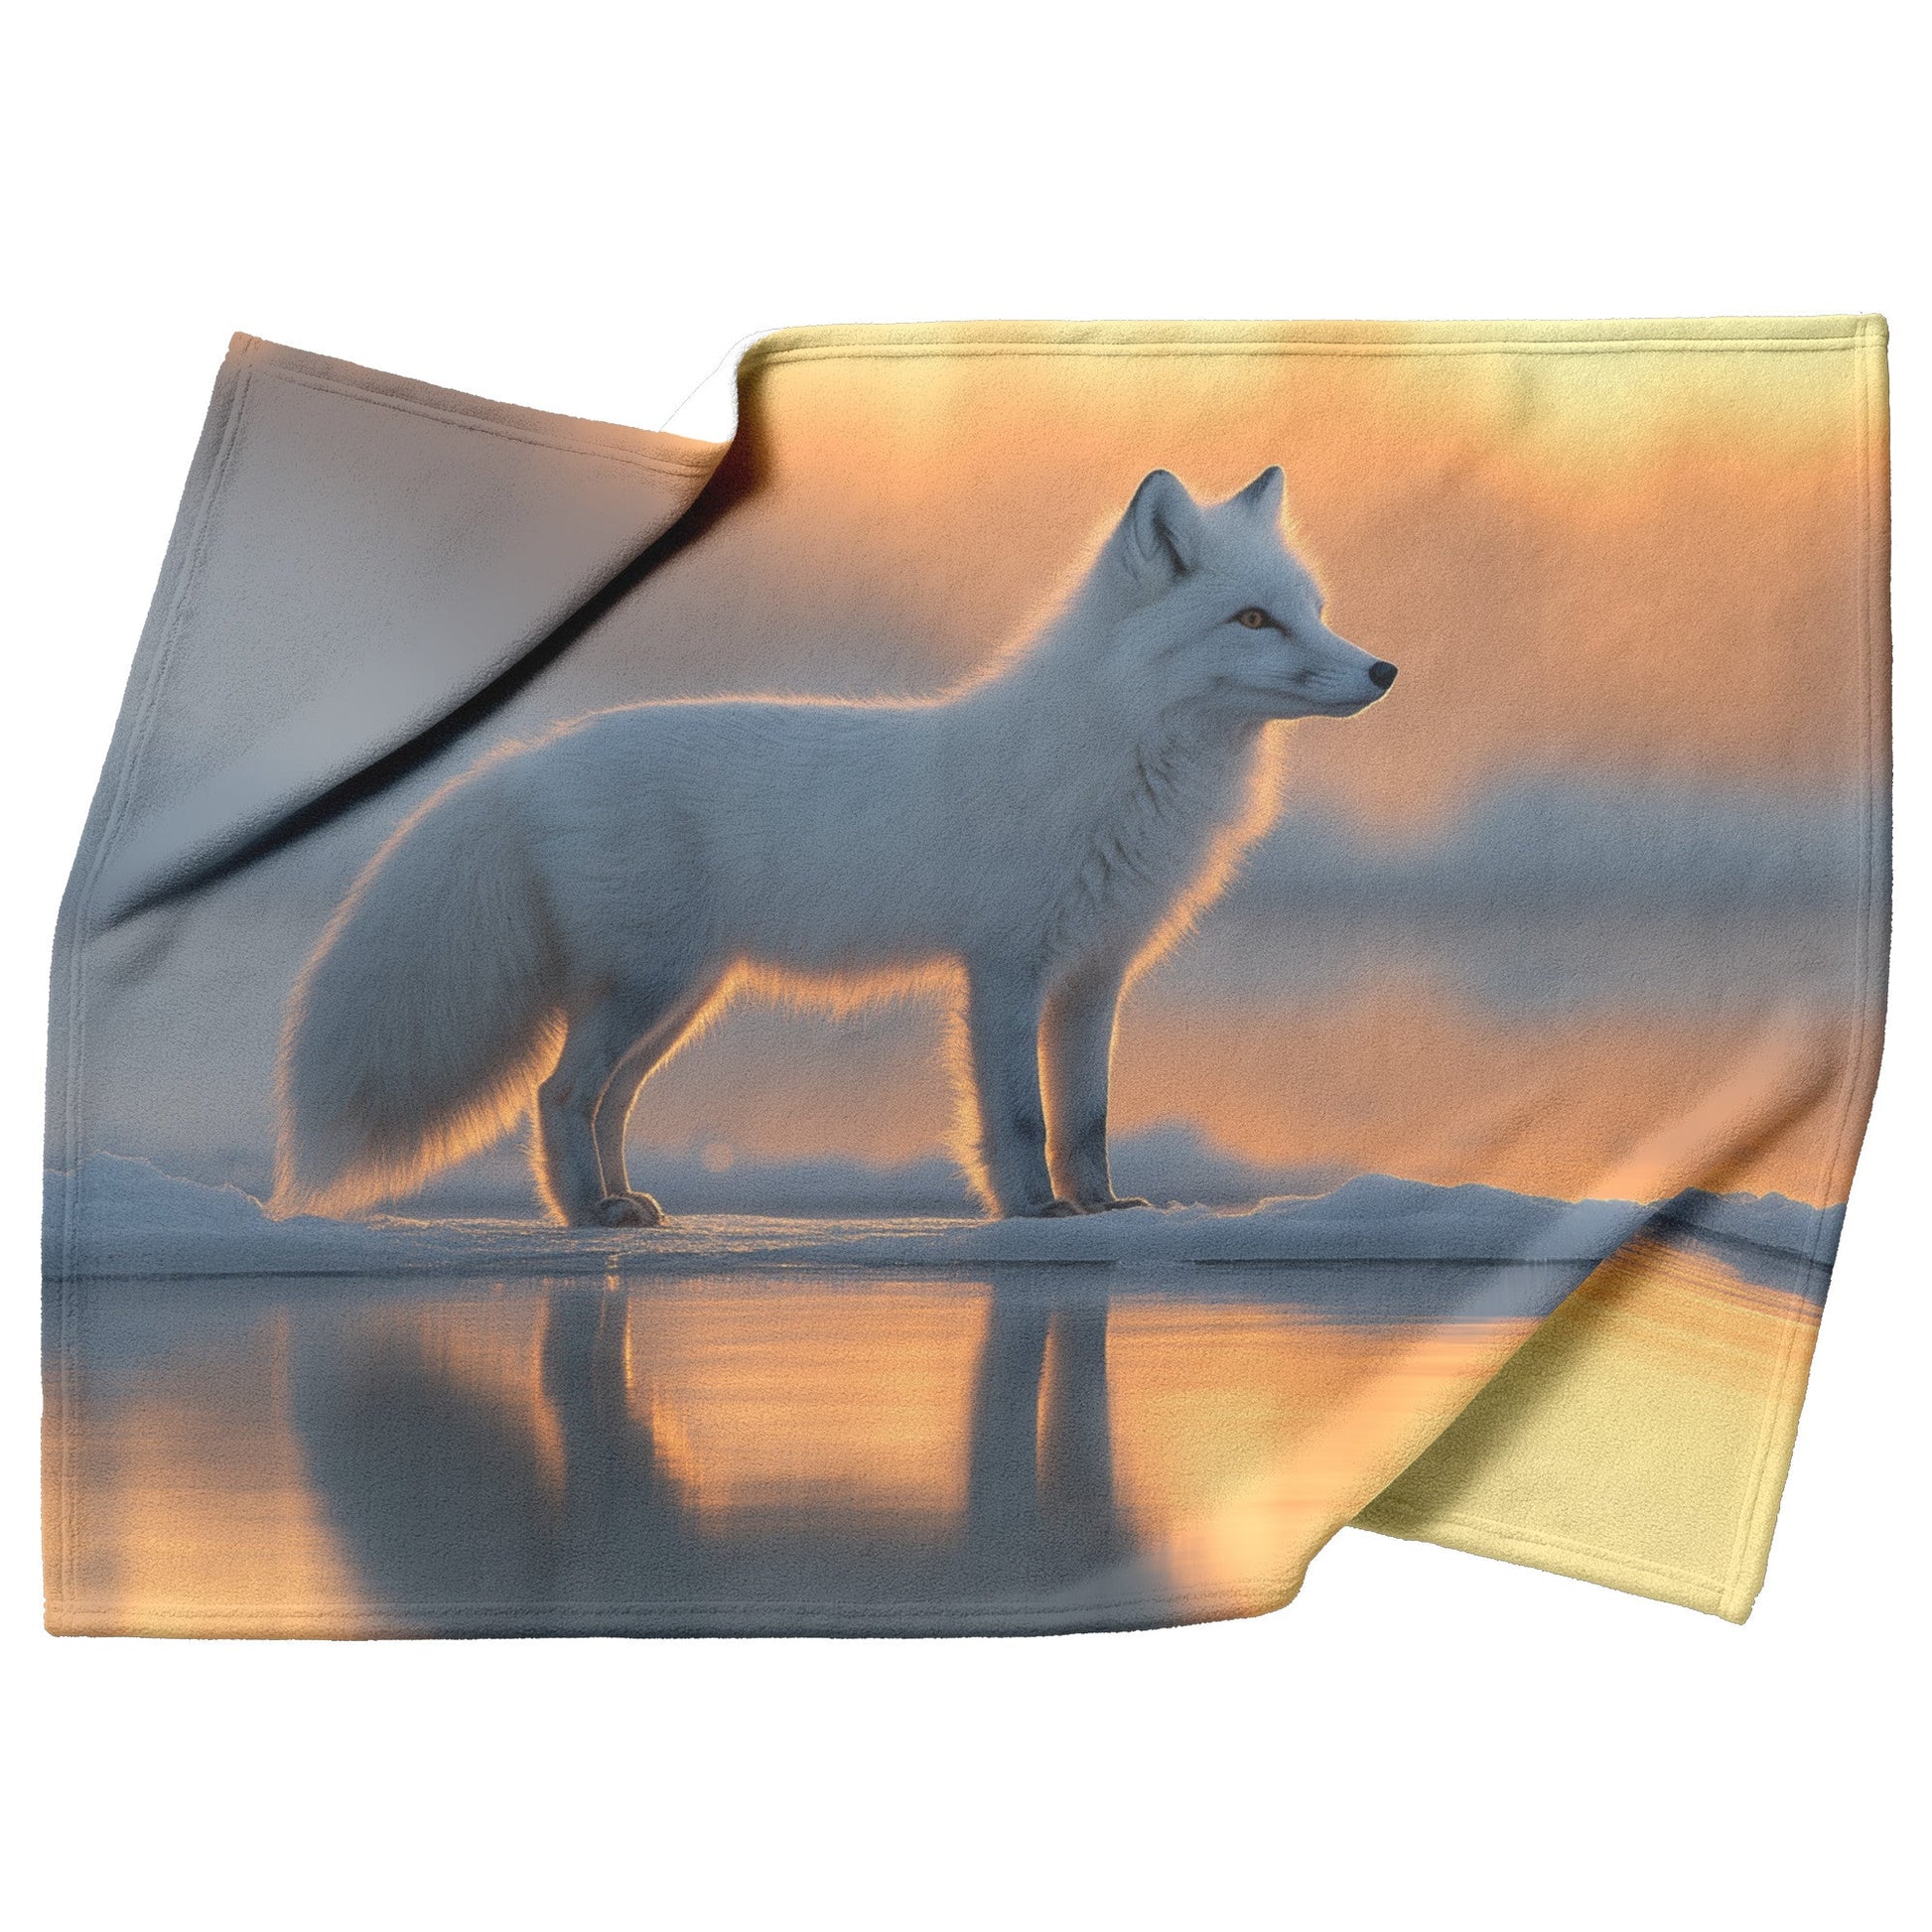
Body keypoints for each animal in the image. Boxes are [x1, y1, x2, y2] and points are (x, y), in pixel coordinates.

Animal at [271, 466, 1396, 1227]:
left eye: (1312, 612)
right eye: (1252, 619)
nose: (1383, 670)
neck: (1122, 761)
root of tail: (527, 756)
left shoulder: (1093, 976)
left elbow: (1087, 1118)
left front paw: (1104, 1210)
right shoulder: (1004, 967)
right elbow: (1019, 1119)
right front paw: (1032, 1212)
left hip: (680, 999)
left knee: (606, 1101)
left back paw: (624, 1204)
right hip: (649, 984)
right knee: (556, 1094)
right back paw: (587, 1214)